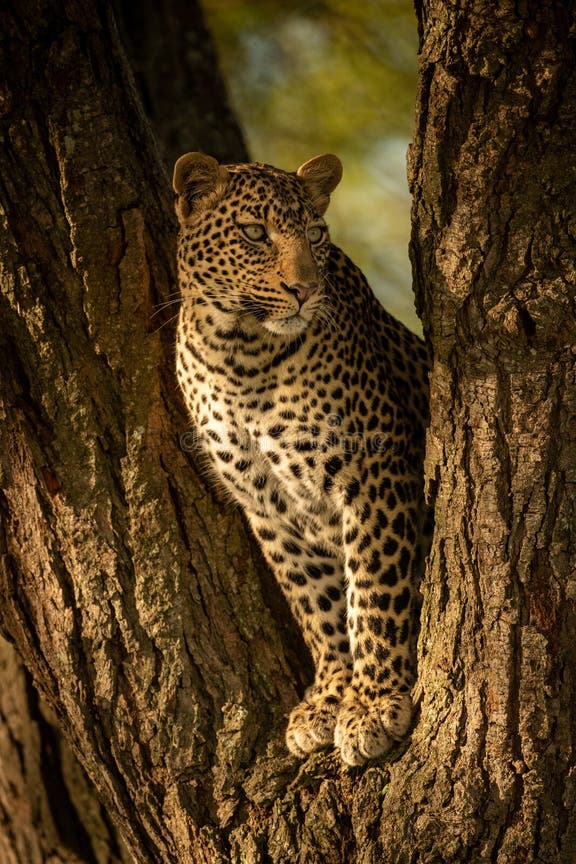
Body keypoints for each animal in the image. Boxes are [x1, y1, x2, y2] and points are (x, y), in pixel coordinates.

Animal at [172, 151, 430, 766]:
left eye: (314, 233)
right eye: (253, 233)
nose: (304, 291)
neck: (238, 352)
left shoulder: (374, 468)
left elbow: (373, 590)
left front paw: (372, 703)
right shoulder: (267, 504)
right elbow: (316, 600)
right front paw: (331, 695)